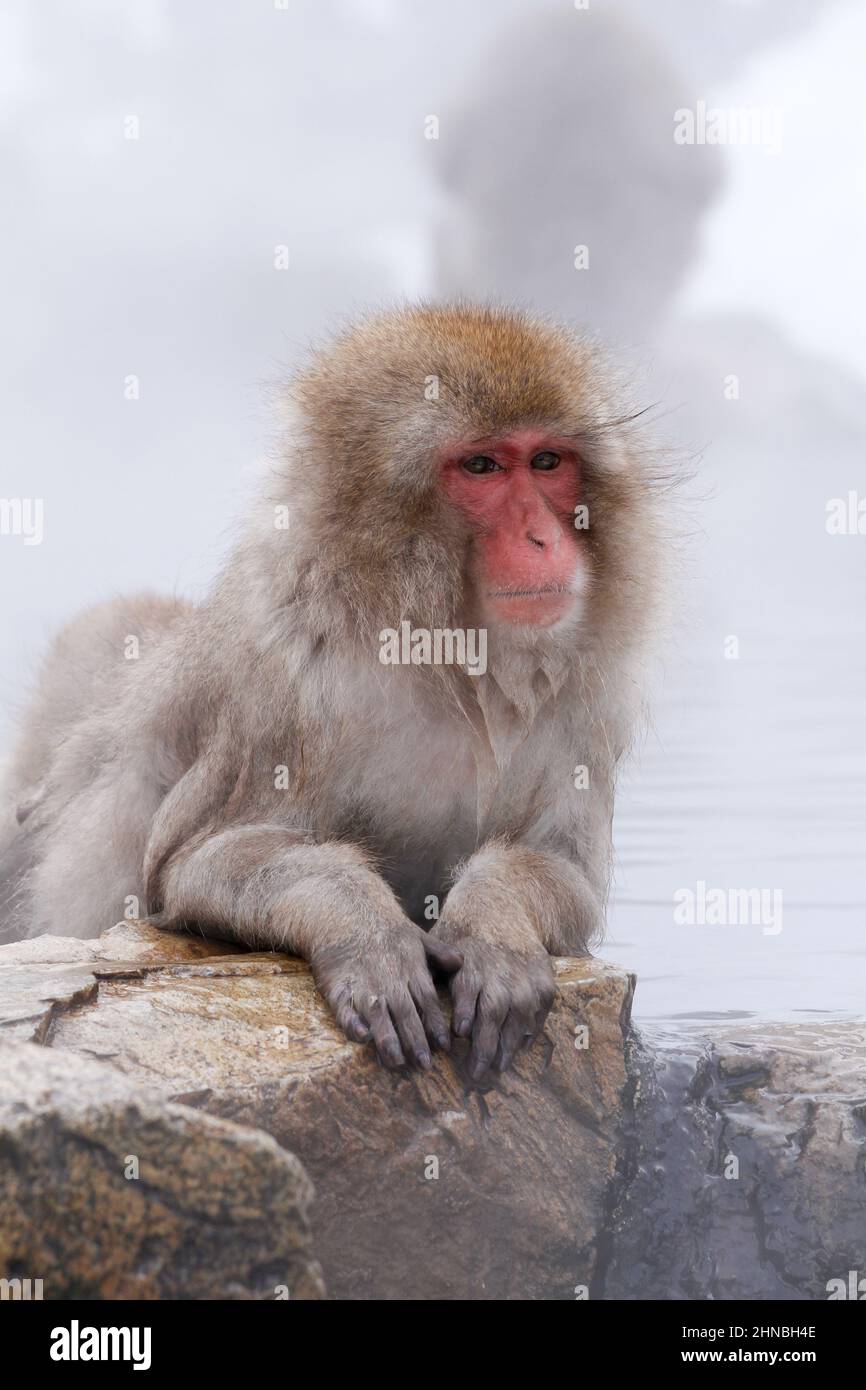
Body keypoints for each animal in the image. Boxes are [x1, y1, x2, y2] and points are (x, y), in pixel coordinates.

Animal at [0, 304, 664, 1080]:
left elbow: (564, 872)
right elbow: (189, 867)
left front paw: (493, 927)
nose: (542, 538)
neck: (437, 648)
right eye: (481, 466)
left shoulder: (583, 695)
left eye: (547, 462)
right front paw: (363, 930)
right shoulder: (286, 681)